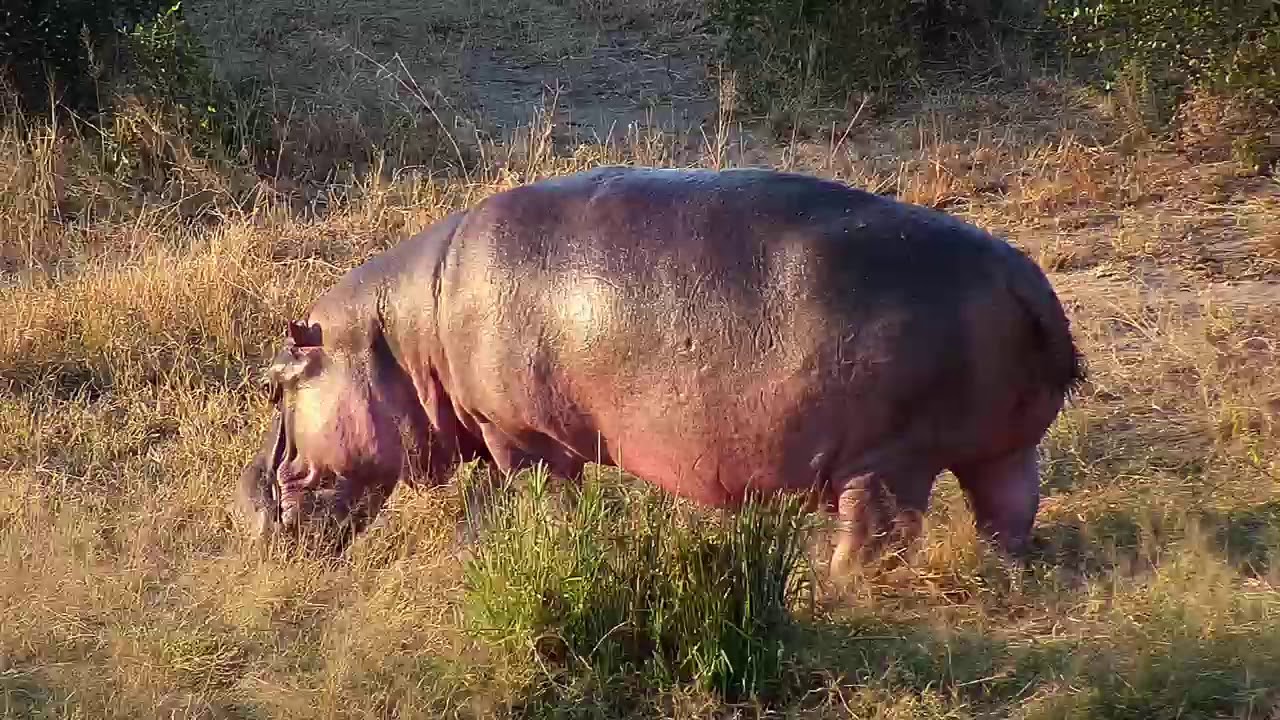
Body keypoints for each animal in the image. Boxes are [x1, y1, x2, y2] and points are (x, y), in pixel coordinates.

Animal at [234, 166, 1085, 572]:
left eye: (277, 382)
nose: (263, 528)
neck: (400, 335)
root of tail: (1027, 281)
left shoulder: (519, 436)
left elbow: (531, 501)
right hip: (1002, 447)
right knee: (1008, 508)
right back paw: (1001, 570)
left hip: (885, 460)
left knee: (877, 536)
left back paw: (831, 590)